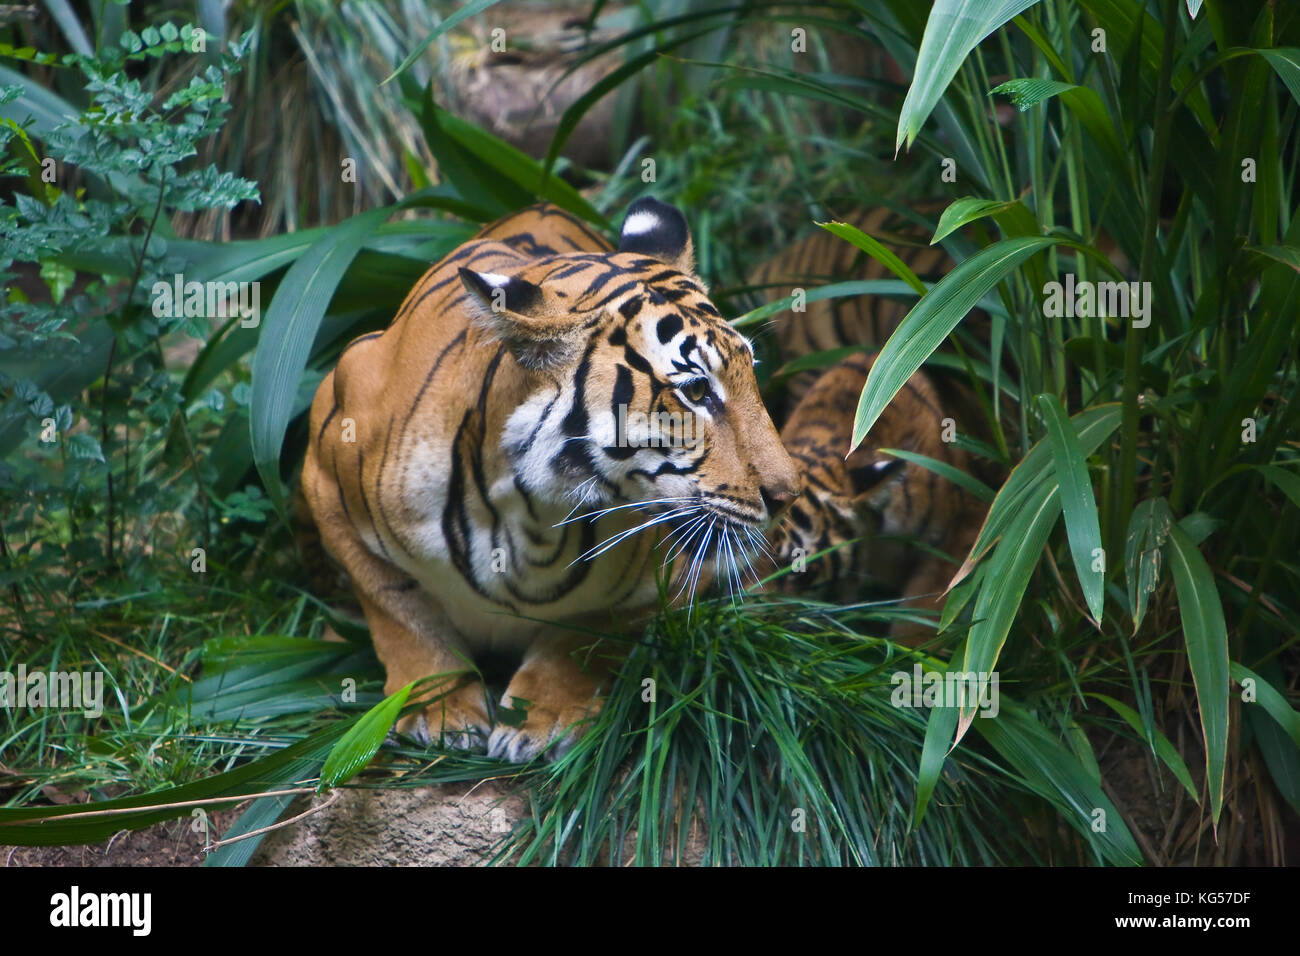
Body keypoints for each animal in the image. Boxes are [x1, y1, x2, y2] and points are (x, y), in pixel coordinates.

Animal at [300, 198, 800, 764]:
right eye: (696, 391)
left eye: (751, 373)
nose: (788, 493)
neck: (530, 512)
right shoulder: (326, 469)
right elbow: (399, 608)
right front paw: (438, 709)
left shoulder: (661, 577)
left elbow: (583, 634)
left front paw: (542, 720)